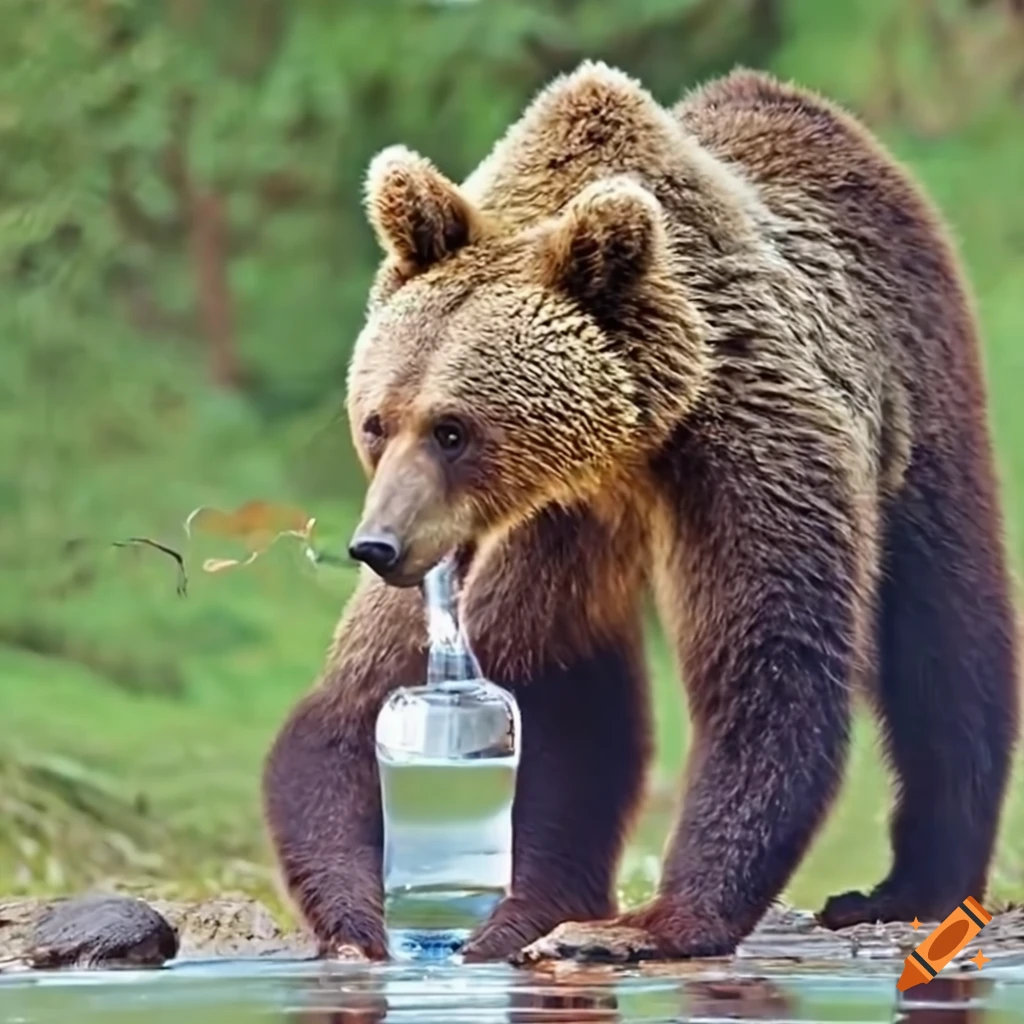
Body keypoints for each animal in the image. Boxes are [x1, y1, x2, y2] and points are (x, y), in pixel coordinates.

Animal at [261, 61, 1020, 963]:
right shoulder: (526, 530)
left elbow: (768, 667)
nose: (374, 545)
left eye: (453, 429)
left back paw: (912, 887)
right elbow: (365, 695)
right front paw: (362, 921)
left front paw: (642, 924)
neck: (621, 449)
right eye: (376, 421)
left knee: (943, 631)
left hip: (920, 391)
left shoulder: (750, 449)